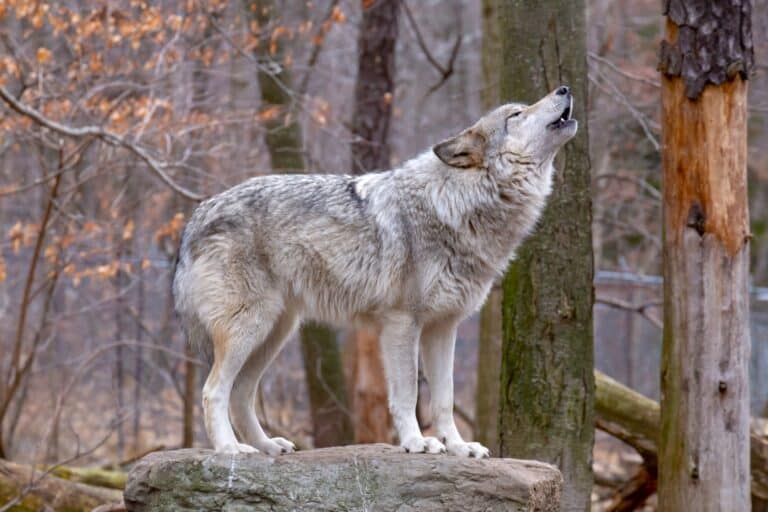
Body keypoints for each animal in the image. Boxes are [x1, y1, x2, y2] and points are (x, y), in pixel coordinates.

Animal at [173, 86, 577, 458]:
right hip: (250, 328)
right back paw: (229, 450)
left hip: (275, 332)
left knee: (241, 394)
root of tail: (197, 214)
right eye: (516, 115)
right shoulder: (402, 324)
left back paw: (267, 446)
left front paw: (460, 448)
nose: (564, 88)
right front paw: (417, 442)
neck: (455, 204)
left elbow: (443, 401)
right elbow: (407, 394)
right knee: (213, 391)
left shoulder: (443, 329)